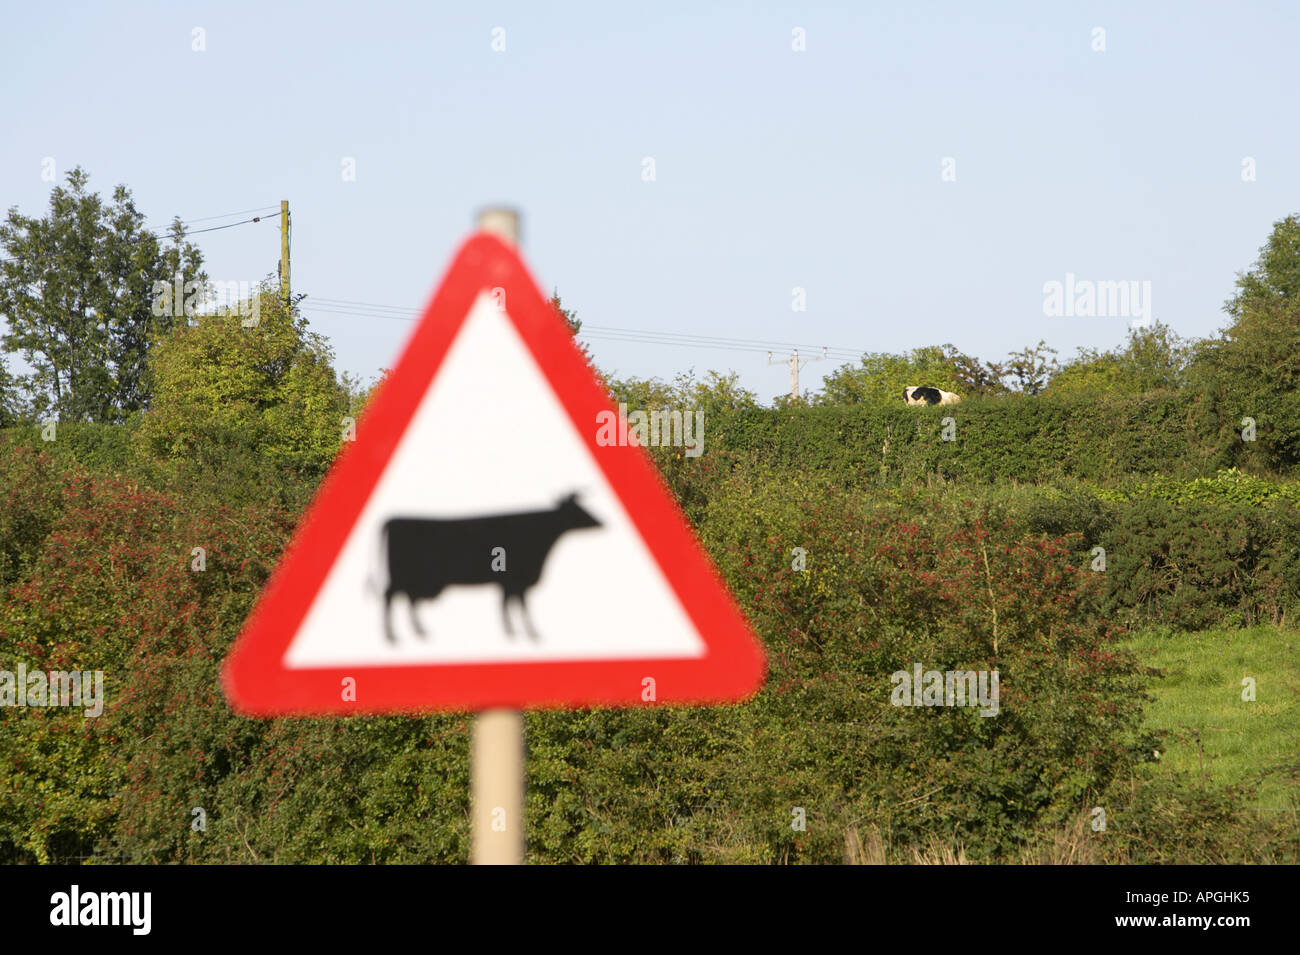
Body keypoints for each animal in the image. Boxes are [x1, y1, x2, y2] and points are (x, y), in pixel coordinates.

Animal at [380, 492, 601, 643]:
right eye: (578, 509)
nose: (601, 521)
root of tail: (392, 520)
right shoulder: (518, 580)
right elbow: (519, 605)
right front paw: (530, 632)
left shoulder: (509, 583)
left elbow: (507, 604)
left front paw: (513, 631)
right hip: (402, 578)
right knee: (390, 596)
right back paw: (392, 636)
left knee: (408, 600)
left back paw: (418, 631)